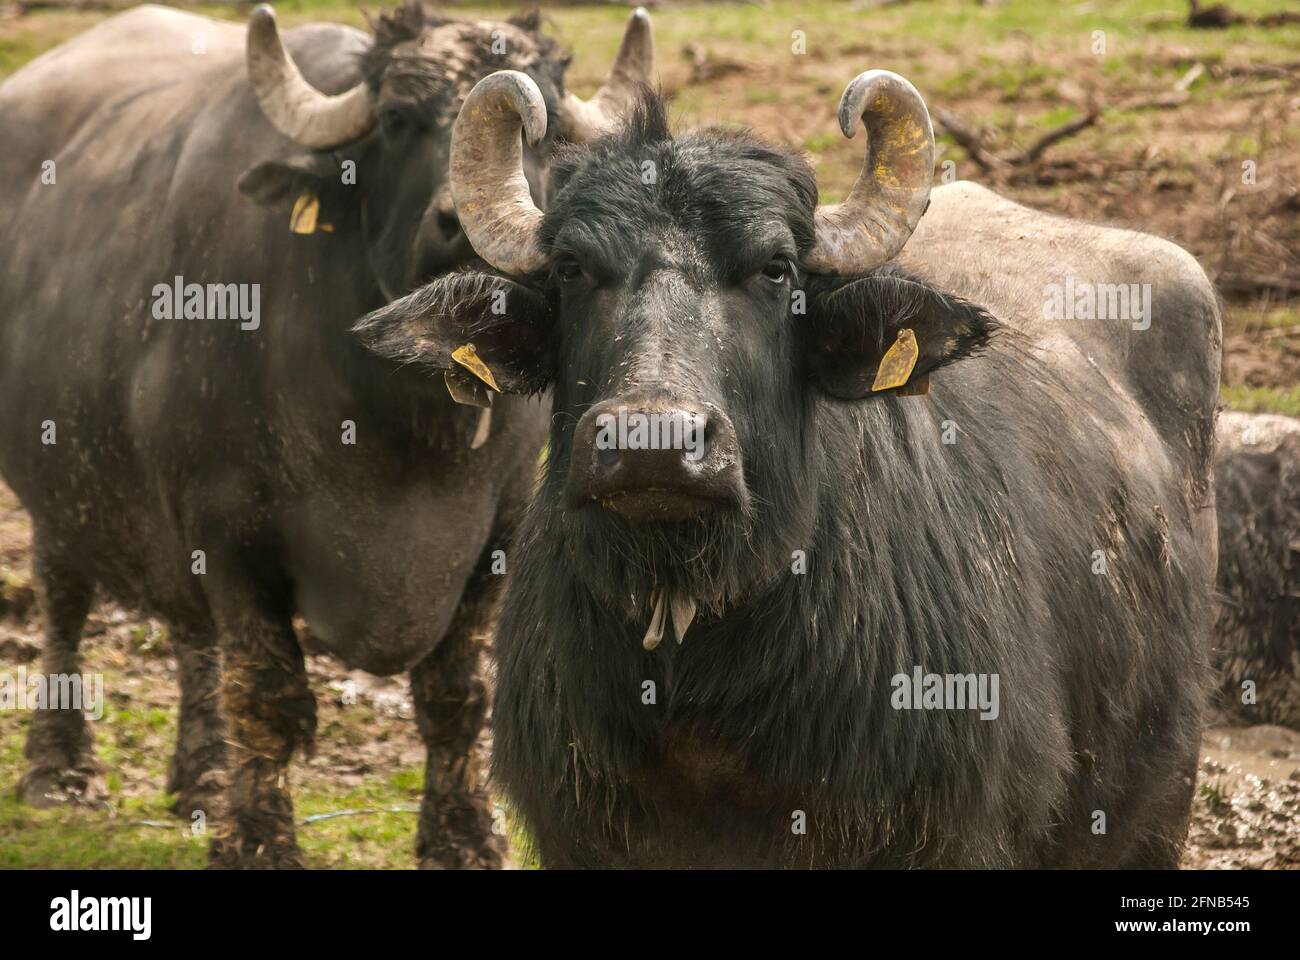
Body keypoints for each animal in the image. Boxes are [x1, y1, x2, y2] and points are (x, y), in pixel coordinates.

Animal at [0, 3, 654, 867]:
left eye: (541, 138)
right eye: (398, 120)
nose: (459, 226)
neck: (405, 418)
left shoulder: (497, 538)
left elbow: (456, 694)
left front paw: (463, 836)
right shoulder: (229, 534)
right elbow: (266, 694)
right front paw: (259, 838)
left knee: (188, 633)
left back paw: (202, 778)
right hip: (59, 488)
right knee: (66, 600)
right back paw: (63, 769)